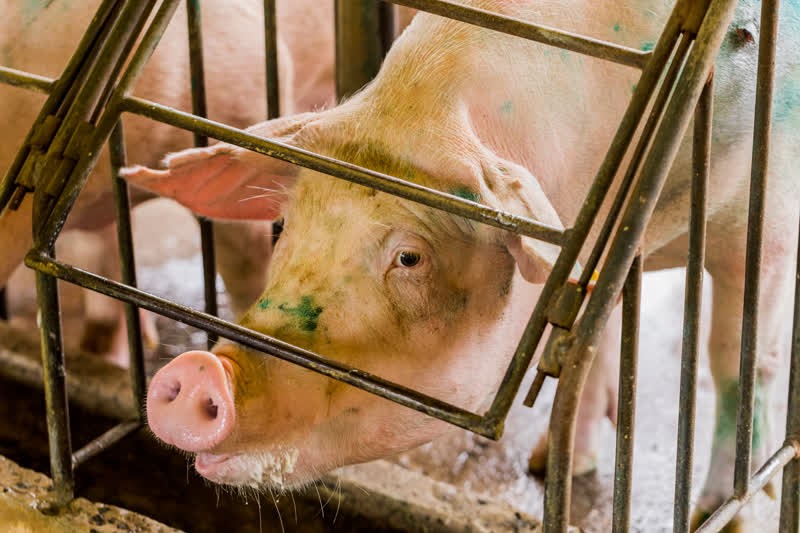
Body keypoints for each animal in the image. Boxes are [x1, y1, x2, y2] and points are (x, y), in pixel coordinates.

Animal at [126, 0, 798, 529]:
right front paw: (555, 461)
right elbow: (589, 347)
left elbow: (739, 356)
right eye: (287, 225)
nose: (198, 369)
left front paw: (723, 510)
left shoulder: (771, 217)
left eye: (409, 256)